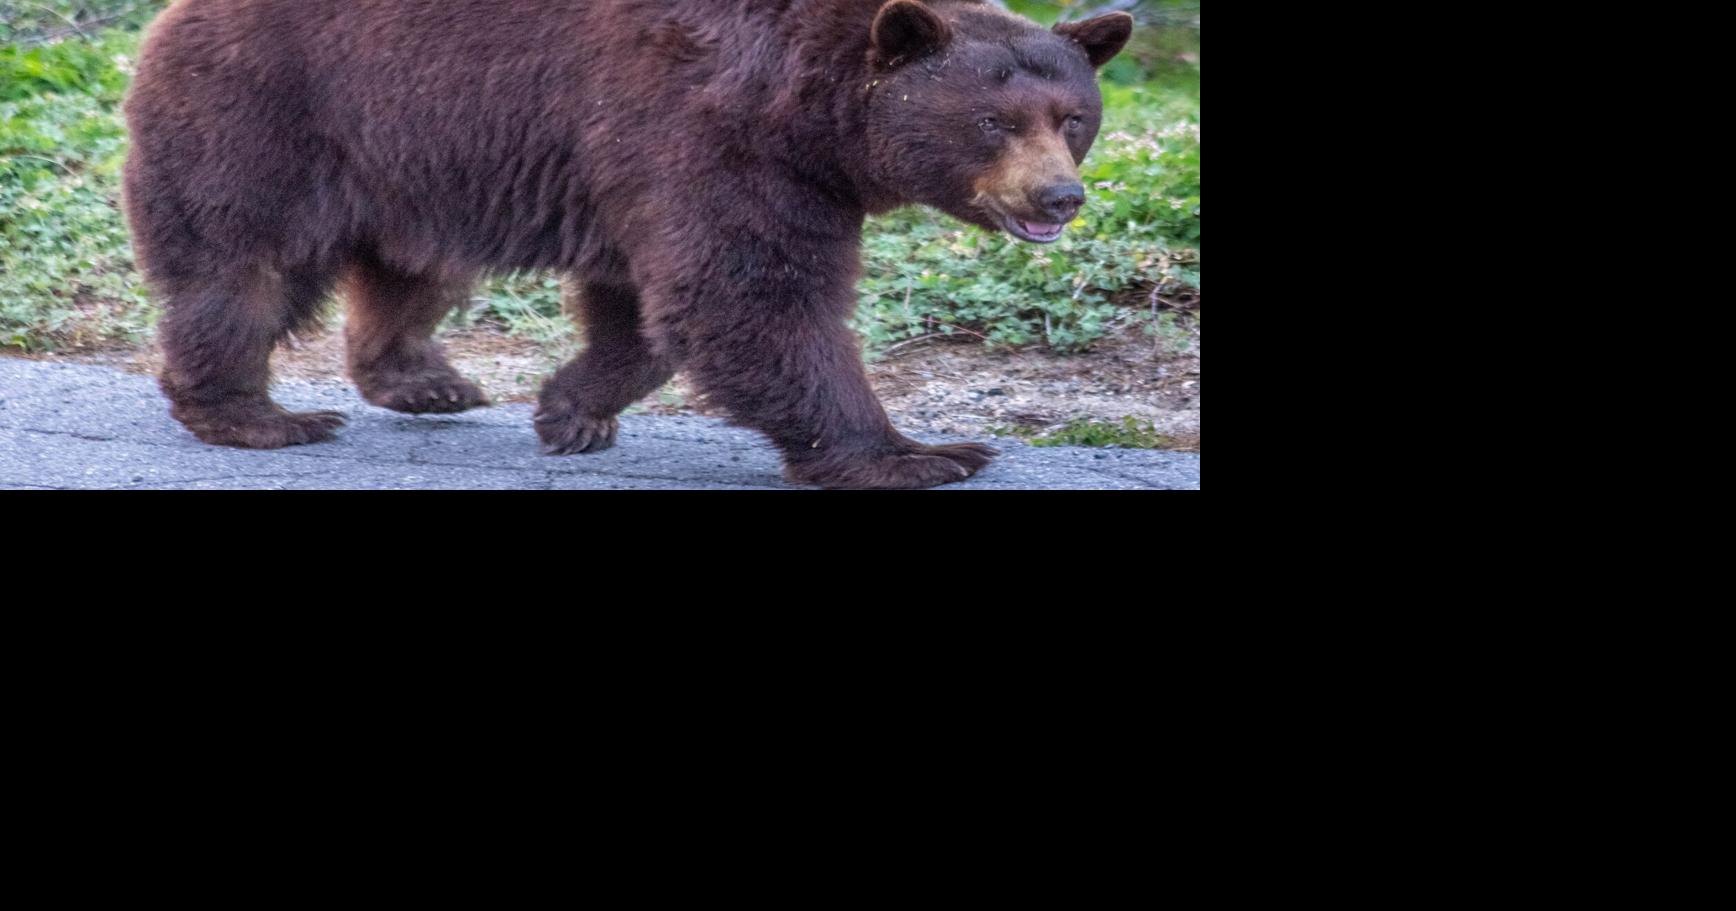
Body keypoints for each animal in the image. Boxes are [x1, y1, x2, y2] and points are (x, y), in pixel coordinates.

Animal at [121, 0, 1132, 488]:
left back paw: (423, 379)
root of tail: (171, 15)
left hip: (416, 158)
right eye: (996, 121)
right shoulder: (710, 133)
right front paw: (924, 453)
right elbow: (749, 295)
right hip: (277, 112)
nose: (1060, 196)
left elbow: (646, 303)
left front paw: (572, 409)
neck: (817, 120)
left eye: (1073, 116)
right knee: (244, 264)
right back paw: (255, 414)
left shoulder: (651, 165)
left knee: (417, 268)